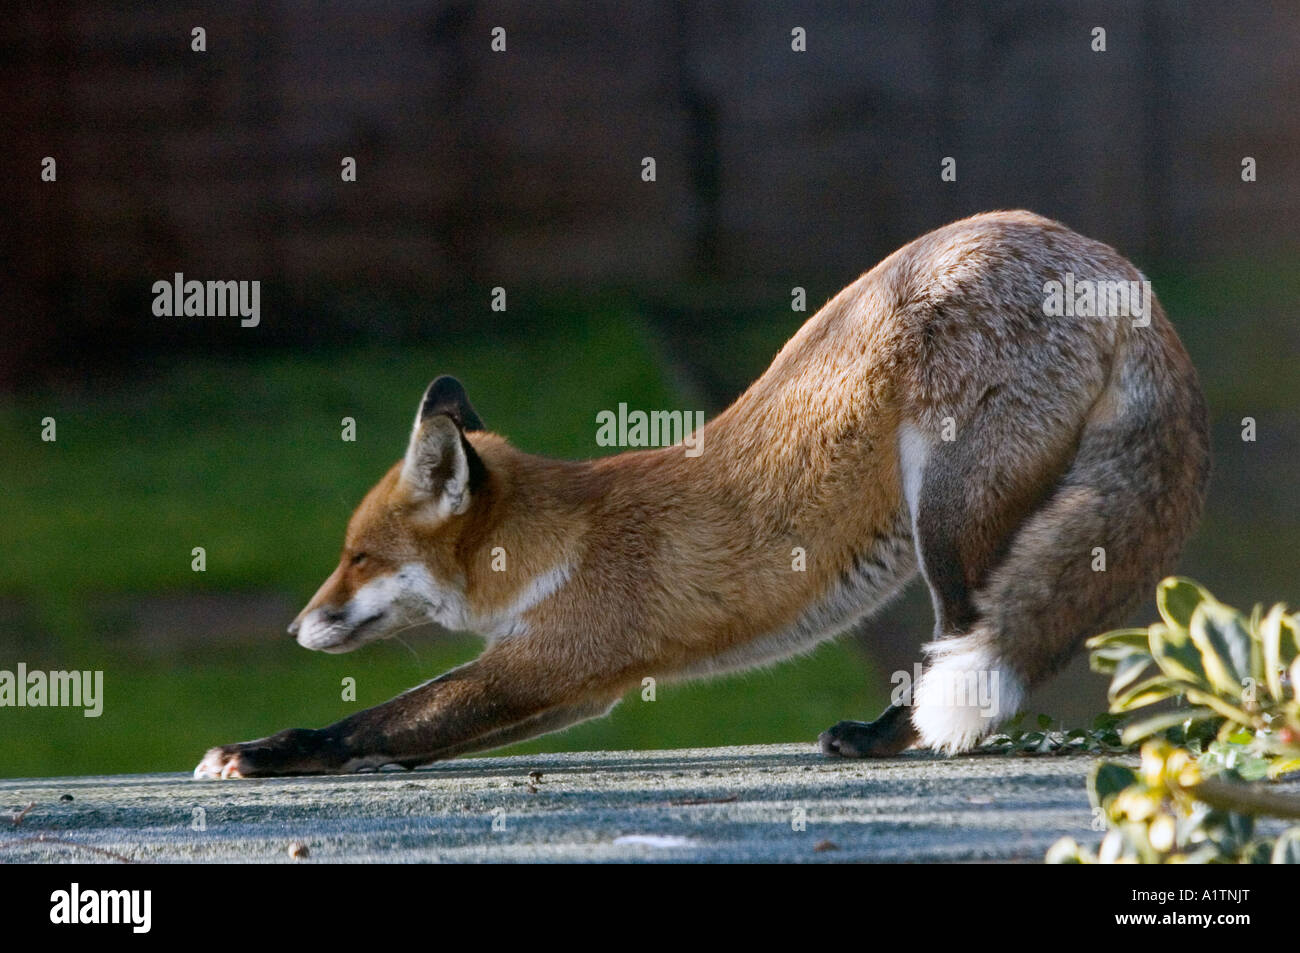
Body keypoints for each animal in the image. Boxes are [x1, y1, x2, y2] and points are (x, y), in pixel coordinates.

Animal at [195, 210, 1209, 779]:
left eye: (358, 557)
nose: (296, 626)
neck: (558, 542)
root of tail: (1109, 264)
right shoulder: (574, 682)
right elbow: (407, 729)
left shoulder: (554, 654)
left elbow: (371, 716)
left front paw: (264, 751)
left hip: (947, 515)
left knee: (957, 641)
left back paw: (888, 738)